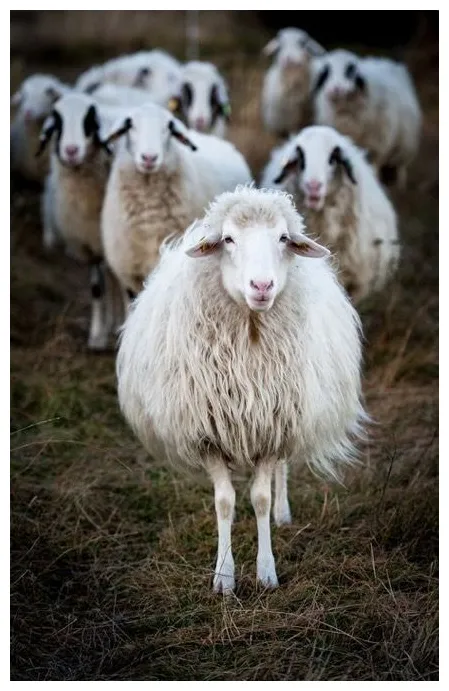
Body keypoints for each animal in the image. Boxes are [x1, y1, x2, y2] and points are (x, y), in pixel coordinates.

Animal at [37, 92, 125, 350]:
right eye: (58, 122)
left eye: (89, 121)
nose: (71, 150)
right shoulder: (89, 244)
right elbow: (97, 288)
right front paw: (96, 337)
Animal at [116, 185, 367, 592]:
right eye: (229, 239)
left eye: (283, 238)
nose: (262, 286)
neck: (249, 334)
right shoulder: (207, 436)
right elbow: (225, 502)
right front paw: (224, 576)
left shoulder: (273, 426)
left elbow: (261, 498)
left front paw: (266, 572)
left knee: (282, 470)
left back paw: (283, 514)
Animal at [311, 49, 422, 187]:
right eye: (326, 73)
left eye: (350, 71)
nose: (336, 89)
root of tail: (383, 60)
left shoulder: (377, 145)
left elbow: (375, 165)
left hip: (406, 143)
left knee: (401, 165)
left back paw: (400, 183)